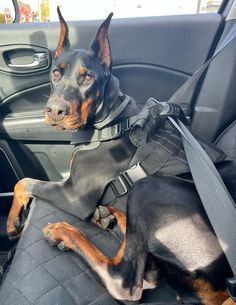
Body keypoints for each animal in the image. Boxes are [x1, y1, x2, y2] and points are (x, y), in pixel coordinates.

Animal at [5, 7, 236, 304]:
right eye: (55, 72)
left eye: (87, 77)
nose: (55, 111)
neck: (111, 121)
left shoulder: (74, 195)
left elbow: (23, 182)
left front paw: (11, 224)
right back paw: (106, 216)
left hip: (149, 188)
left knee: (127, 283)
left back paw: (67, 233)